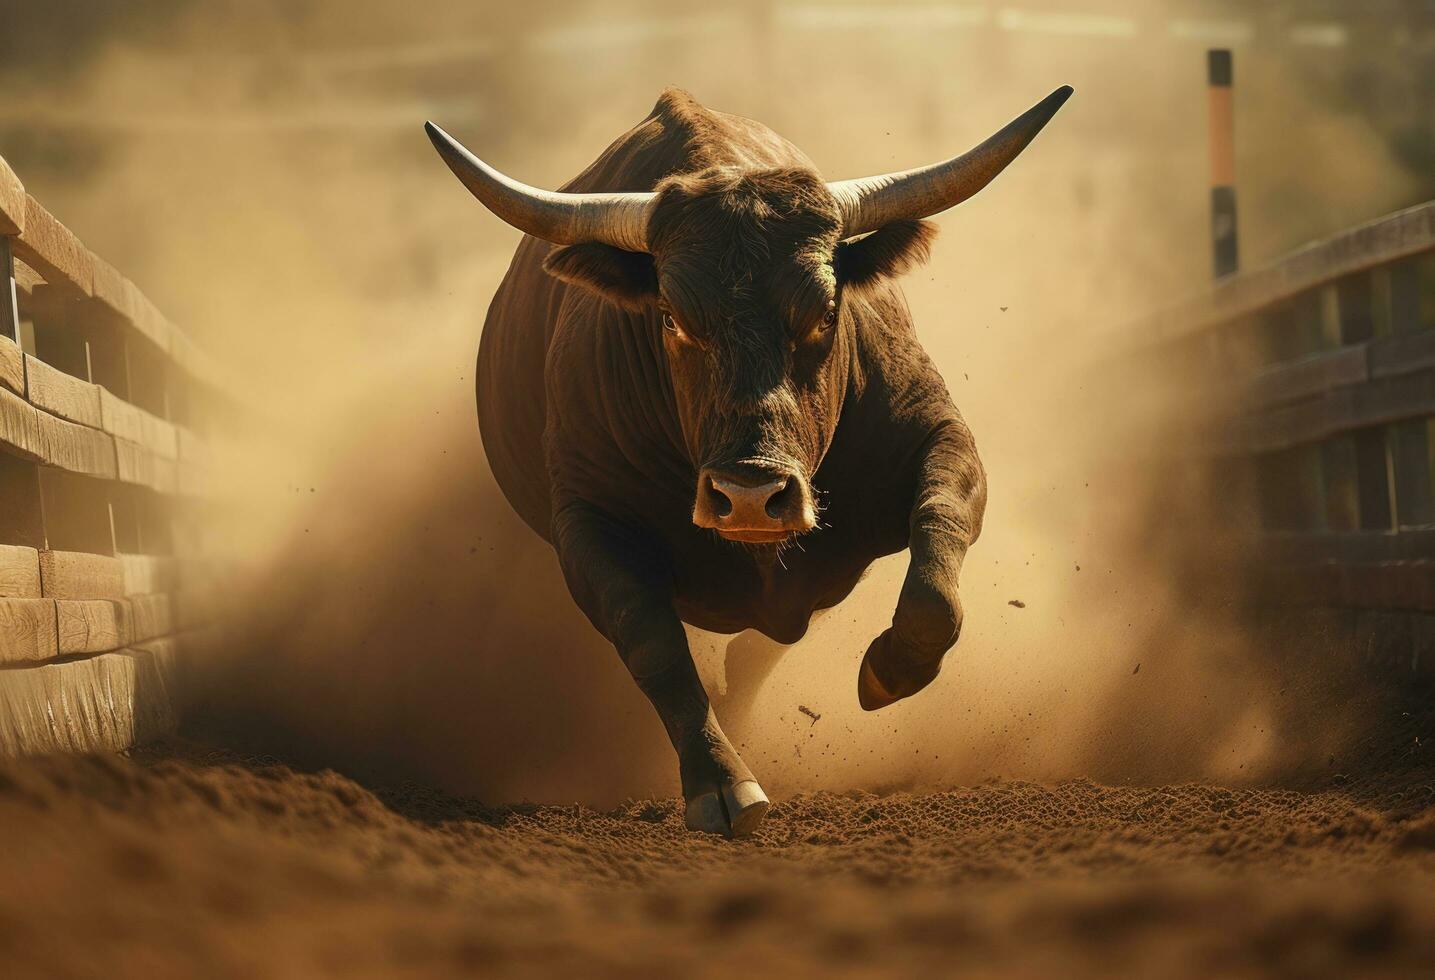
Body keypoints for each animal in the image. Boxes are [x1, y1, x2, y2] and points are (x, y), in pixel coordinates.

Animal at [425, 84, 1071, 837]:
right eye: (672, 318)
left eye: (824, 312)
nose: (751, 495)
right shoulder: (588, 522)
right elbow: (654, 644)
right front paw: (720, 781)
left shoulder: (937, 435)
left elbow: (936, 562)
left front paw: (887, 670)